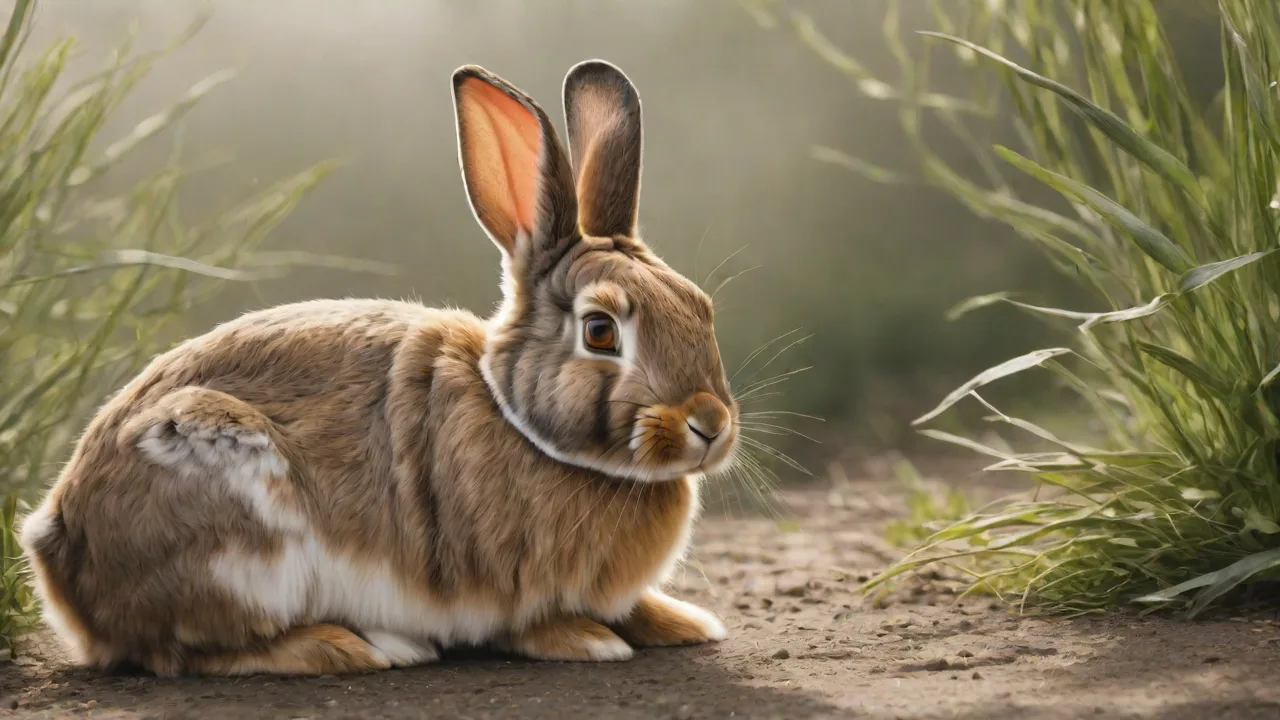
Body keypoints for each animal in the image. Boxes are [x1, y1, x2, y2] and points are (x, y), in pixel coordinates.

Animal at [17, 60, 739, 677]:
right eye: (600, 331)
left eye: (701, 307)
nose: (711, 424)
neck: (519, 421)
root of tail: (58, 552)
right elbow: (529, 626)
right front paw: (589, 640)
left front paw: (686, 623)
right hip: (232, 525)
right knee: (194, 651)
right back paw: (354, 646)